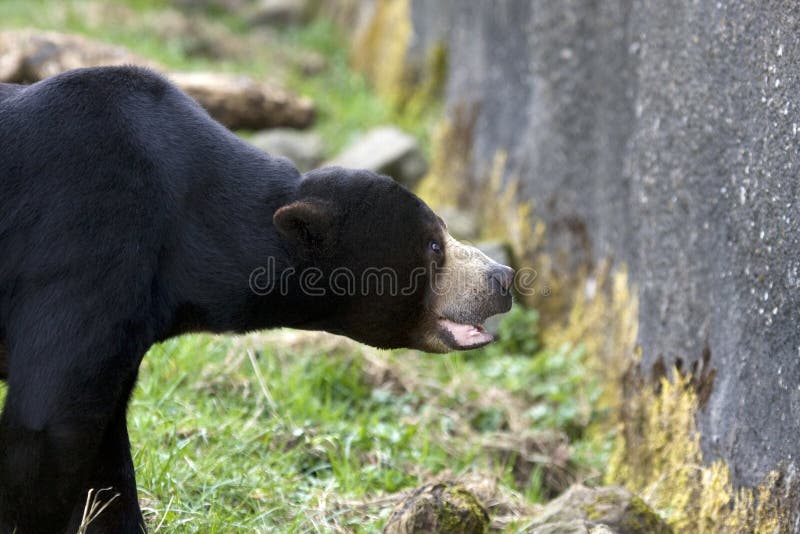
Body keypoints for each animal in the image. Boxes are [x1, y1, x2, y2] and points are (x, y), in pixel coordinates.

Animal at [0, 66, 514, 533]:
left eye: (442, 233)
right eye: (433, 246)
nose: (503, 279)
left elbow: (102, 452)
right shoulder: (91, 239)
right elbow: (51, 419)